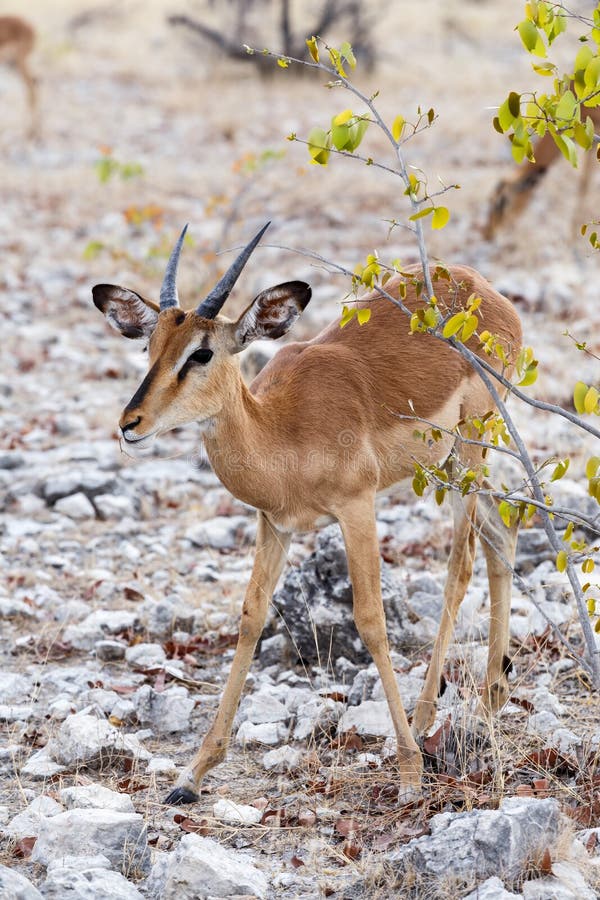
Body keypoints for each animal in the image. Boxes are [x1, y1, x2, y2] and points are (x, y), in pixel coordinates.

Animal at [92, 223, 522, 803]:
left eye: (202, 353)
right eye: (149, 346)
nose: (129, 423)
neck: (281, 429)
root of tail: (484, 290)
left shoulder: (357, 508)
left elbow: (371, 621)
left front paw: (409, 771)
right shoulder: (274, 525)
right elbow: (251, 617)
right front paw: (192, 774)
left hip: (467, 452)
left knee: (462, 563)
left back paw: (425, 720)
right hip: (457, 464)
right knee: (504, 532)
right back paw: (492, 697)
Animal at [483, 110, 600, 241]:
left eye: (502, 203)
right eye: (490, 199)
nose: (487, 234)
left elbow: (584, 185)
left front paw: (573, 236)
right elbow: (584, 184)